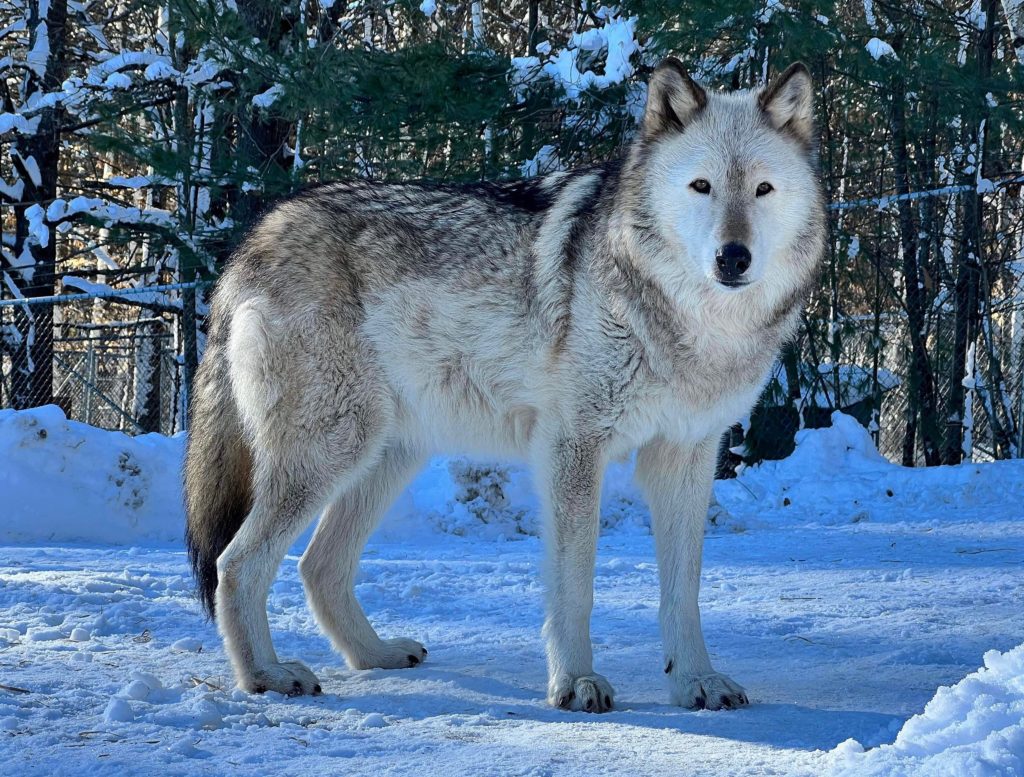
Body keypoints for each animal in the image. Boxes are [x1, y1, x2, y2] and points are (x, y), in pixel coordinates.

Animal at [184, 58, 825, 712]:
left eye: (763, 190)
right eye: (701, 186)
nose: (733, 258)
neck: (693, 324)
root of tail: (254, 240)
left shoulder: (686, 454)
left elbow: (684, 592)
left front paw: (696, 680)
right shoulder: (572, 447)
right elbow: (575, 584)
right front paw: (576, 682)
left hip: (385, 457)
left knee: (318, 567)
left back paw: (375, 655)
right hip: (331, 452)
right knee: (238, 562)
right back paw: (266, 675)